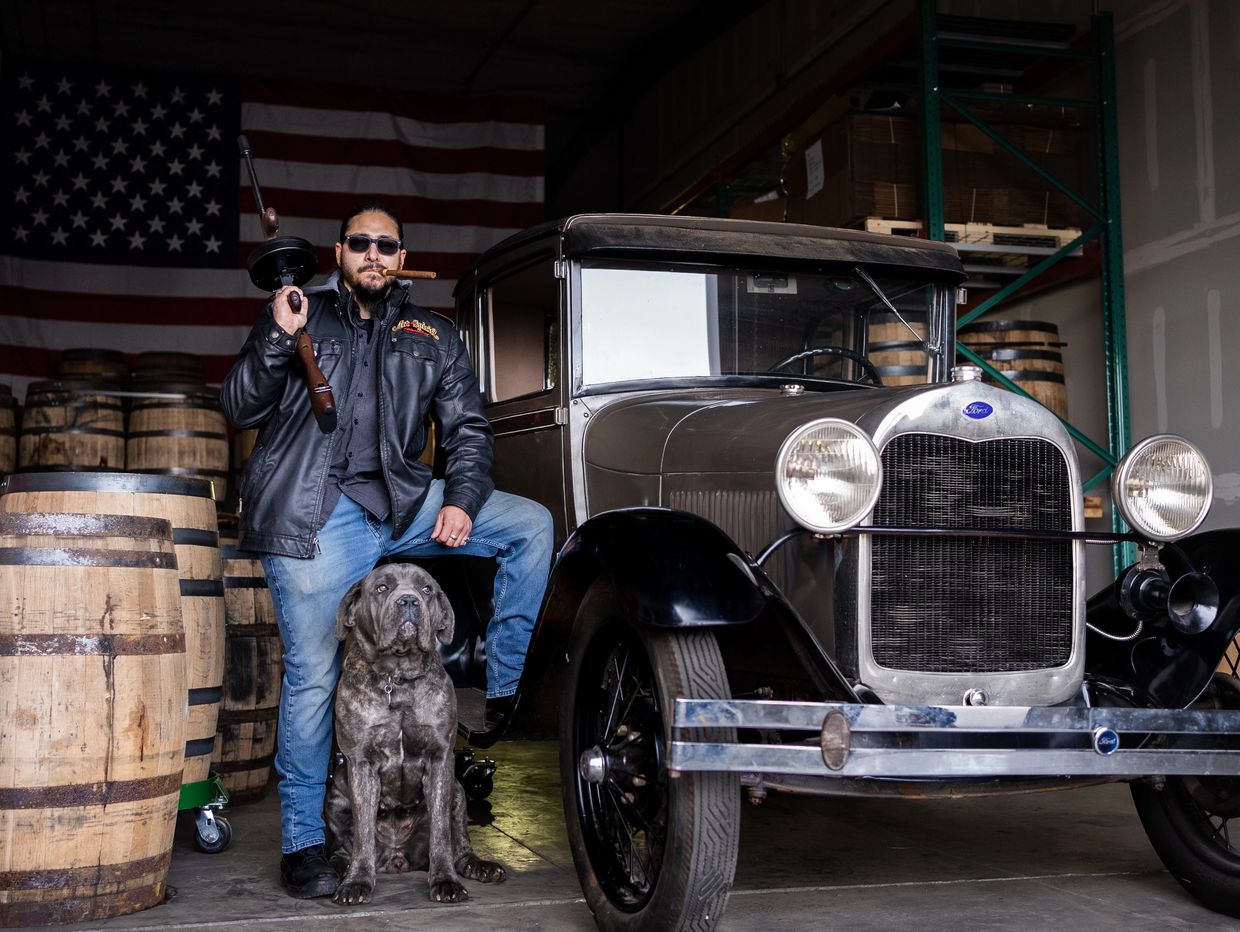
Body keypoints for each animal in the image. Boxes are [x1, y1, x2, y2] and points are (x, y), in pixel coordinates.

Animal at [327, 560, 510, 902]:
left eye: (426, 589)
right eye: (382, 587)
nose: (409, 601)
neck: (397, 678)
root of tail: (397, 857)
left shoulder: (440, 759)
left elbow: (441, 832)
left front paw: (445, 880)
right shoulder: (360, 763)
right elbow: (363, 832)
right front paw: (357, 881)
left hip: (457, 790)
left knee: (460, 846)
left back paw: (479, 866)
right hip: (335, 798)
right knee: (343, 846)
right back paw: (339, 868)